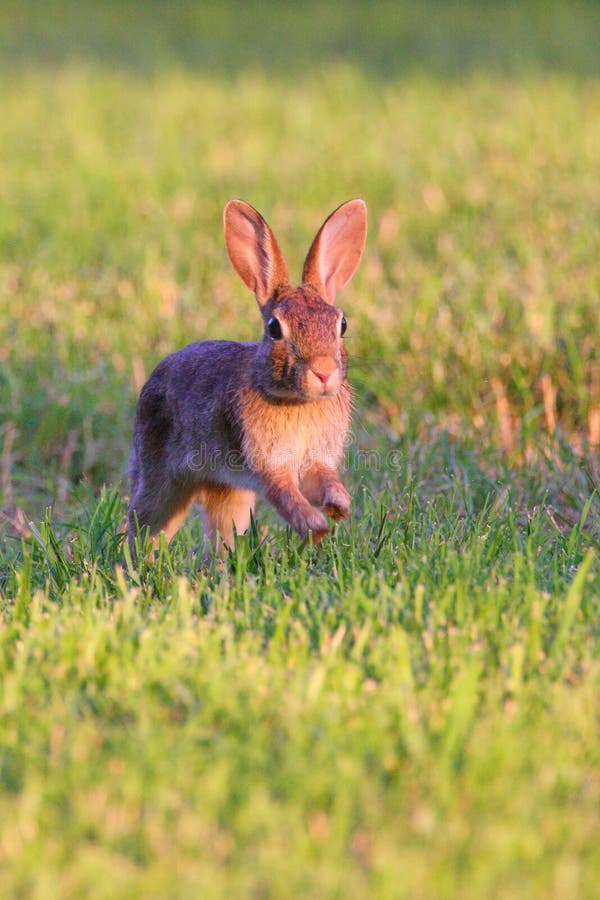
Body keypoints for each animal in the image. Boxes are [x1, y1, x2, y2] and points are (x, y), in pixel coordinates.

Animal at [128, 198, 367, 558]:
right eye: (275, 328)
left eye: (342, 324)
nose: (323, 371)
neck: (296, 400)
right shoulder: (270, 465)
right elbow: (285, 494)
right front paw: (315, 526)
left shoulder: (315, 461)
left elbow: (323, 480)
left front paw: (339, 506)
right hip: (162, 480)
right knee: (142, 521)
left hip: (229, 493)